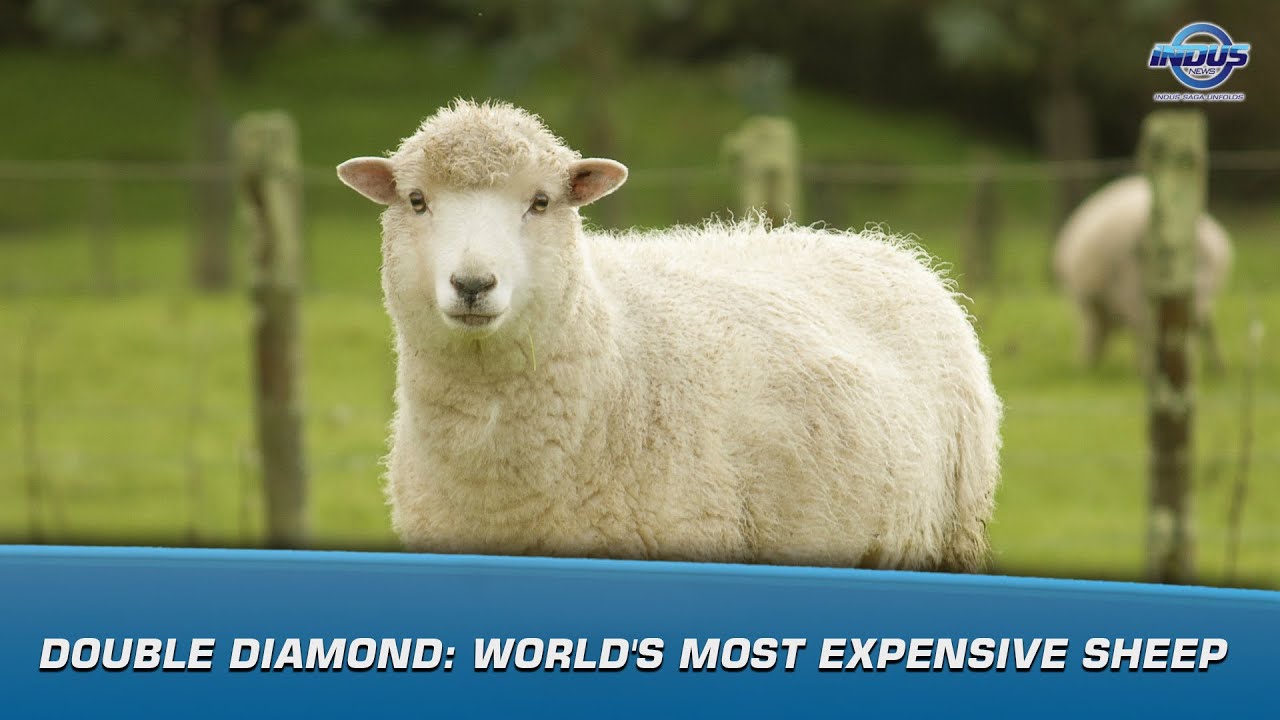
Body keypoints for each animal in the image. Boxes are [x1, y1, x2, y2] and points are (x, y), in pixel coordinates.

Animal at [1054, 174, 1233, 373]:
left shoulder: (1091, 301)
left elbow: (1093, 332)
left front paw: (1088, 364)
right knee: (1194, 329)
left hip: (1134, 289)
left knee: (1149, 330)